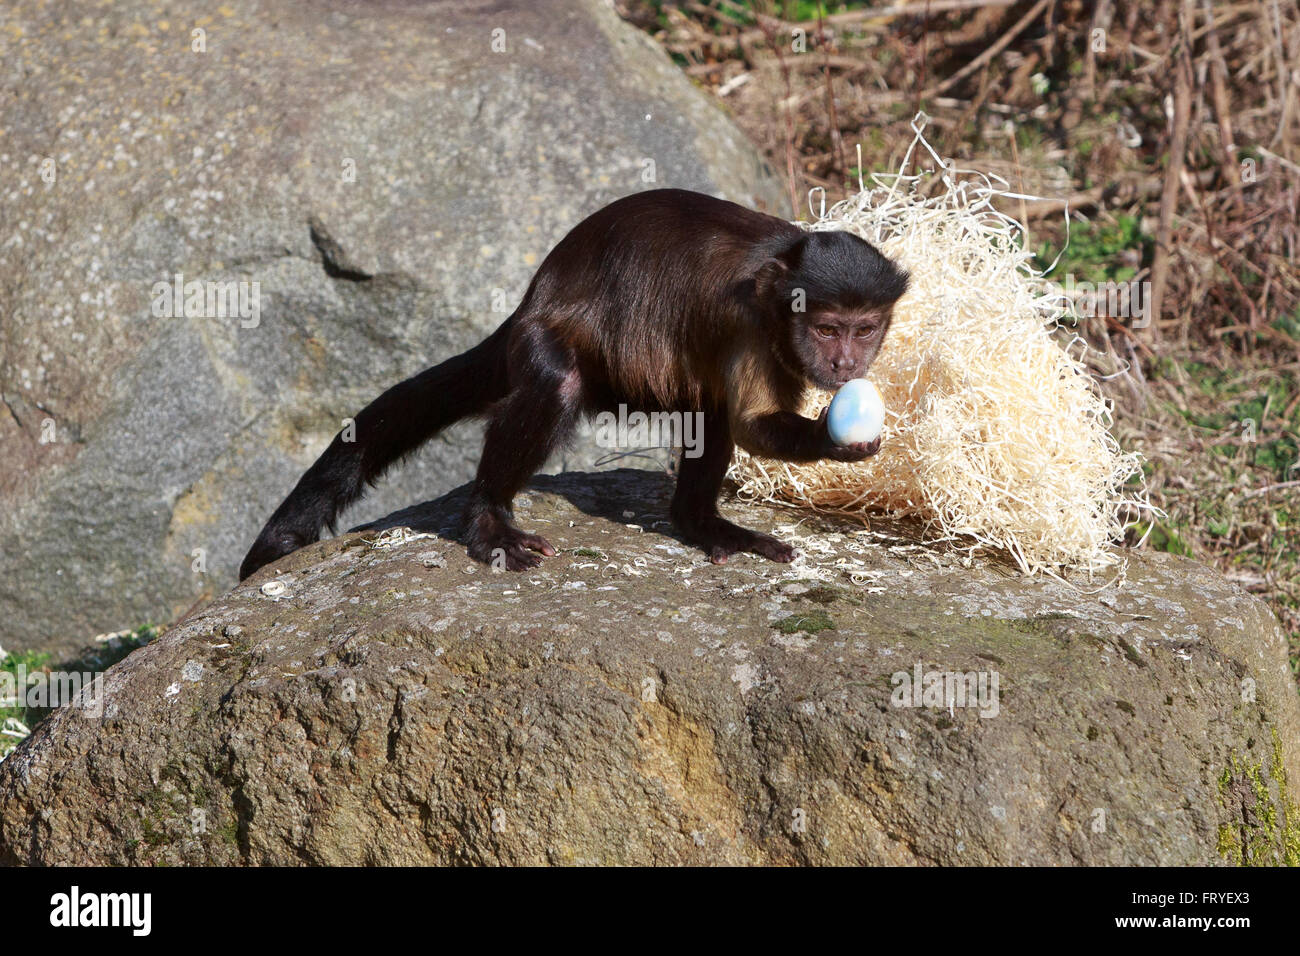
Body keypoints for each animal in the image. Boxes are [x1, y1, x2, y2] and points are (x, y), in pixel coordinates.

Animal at [239, 188, 908, 579]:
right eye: (827, 329)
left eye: (865, 329)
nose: (845, 365)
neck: (779, 284)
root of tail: (531, 298)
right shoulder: (749, 321)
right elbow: (753, 427)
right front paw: (834, 440)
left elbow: (735, 421)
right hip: (544, 340)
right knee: (558, 383)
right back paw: (488, 518)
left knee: (708, 408)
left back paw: (697, 522)